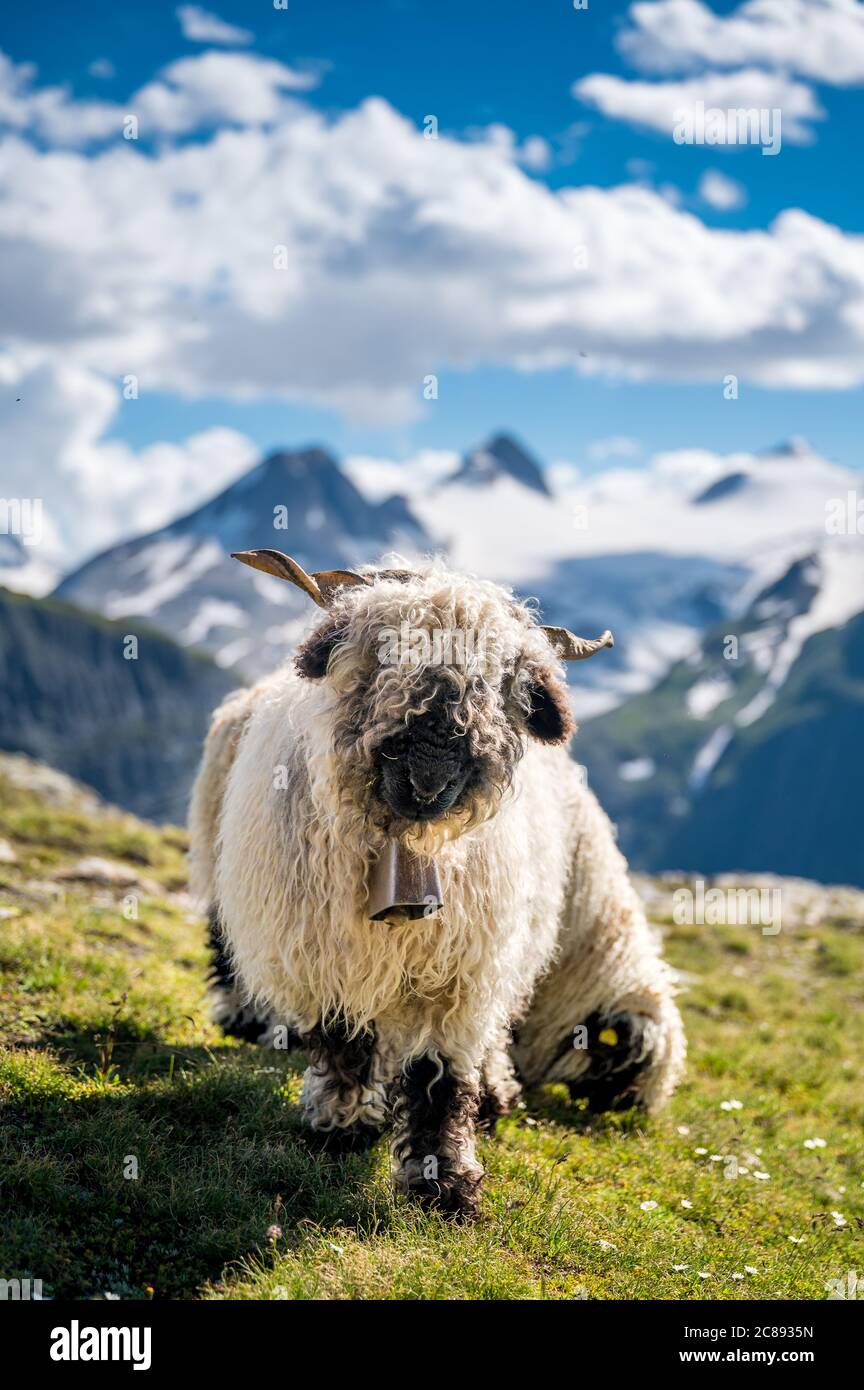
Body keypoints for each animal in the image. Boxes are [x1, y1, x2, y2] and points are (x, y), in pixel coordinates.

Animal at [189, 551, 685, 1218]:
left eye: (505, 685)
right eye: (381, 655)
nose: (429, 777)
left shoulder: (466, 964)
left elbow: (441, 1074)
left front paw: (443, 1178)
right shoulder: (326, 949)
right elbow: (344, 1041)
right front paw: (343, 1124)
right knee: (222, 937)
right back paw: (245, 1016)